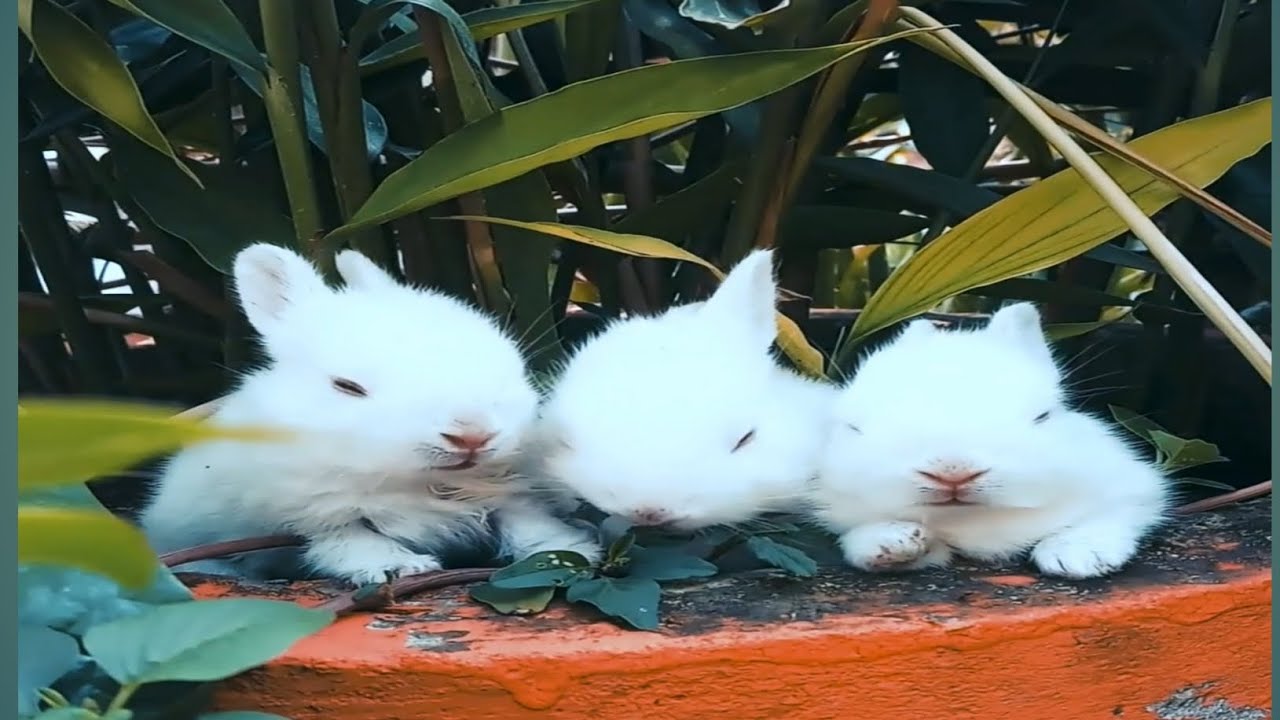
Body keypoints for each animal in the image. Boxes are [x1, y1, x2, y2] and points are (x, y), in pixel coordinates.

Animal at [138, 243, 601, 586]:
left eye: (510, 367)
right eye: (348, 387)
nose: (471, 434)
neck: (428, 485)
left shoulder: (509, 498)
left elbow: (525, 522)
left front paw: (572, 550)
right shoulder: (315, 518)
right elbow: (349, 542)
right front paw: (400, 568)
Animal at [809, 303, 1171, 579]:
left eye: (1043, 415)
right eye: (854, 427)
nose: (953, 471)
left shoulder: (1135, 489)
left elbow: (1111, 516)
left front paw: (1078, 558)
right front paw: (893, 542)